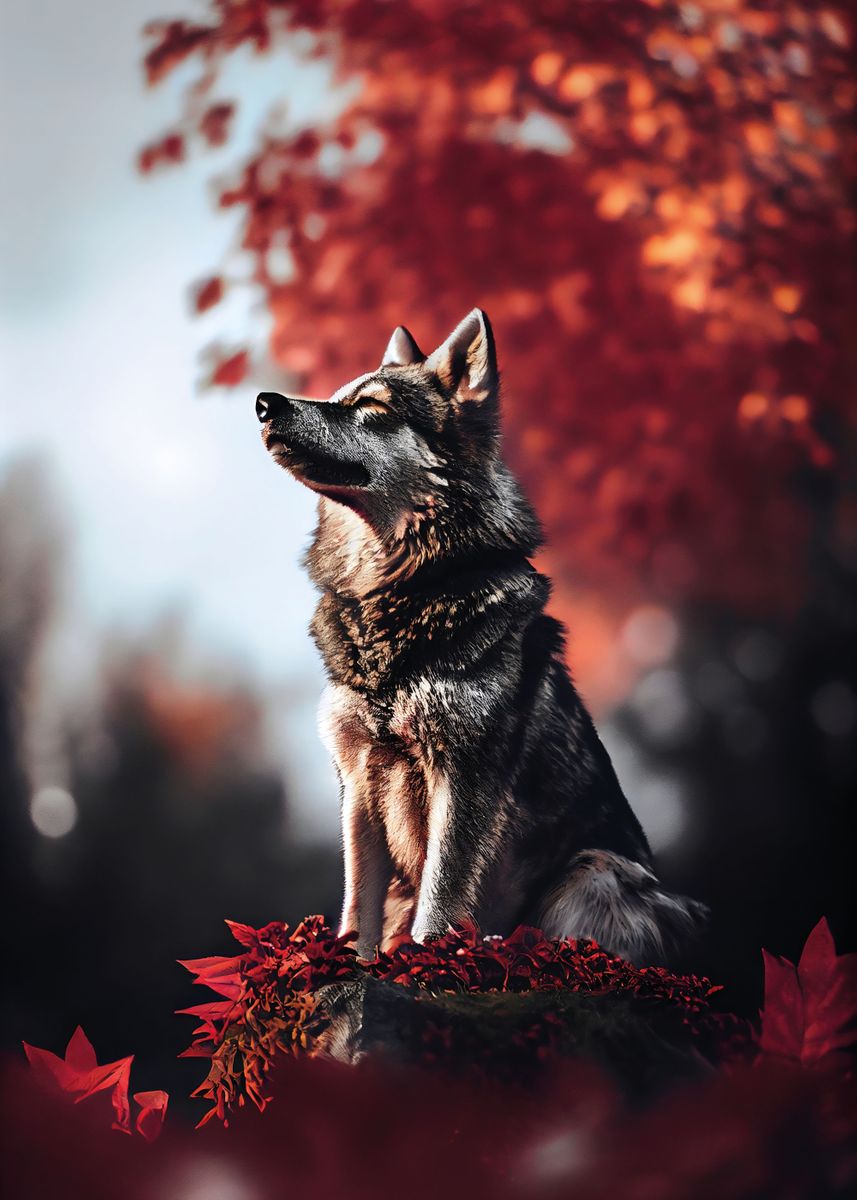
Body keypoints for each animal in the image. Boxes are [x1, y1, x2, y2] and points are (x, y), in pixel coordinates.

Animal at [255, 309, 707, 964]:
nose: (265, 403)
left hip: (595, 872)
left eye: (371, 407)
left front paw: (427, 966)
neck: (396, 595)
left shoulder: (465, 775)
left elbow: (441, 901)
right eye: (337, 398)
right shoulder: (358, 779)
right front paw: (351, 966)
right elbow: (357, 909)